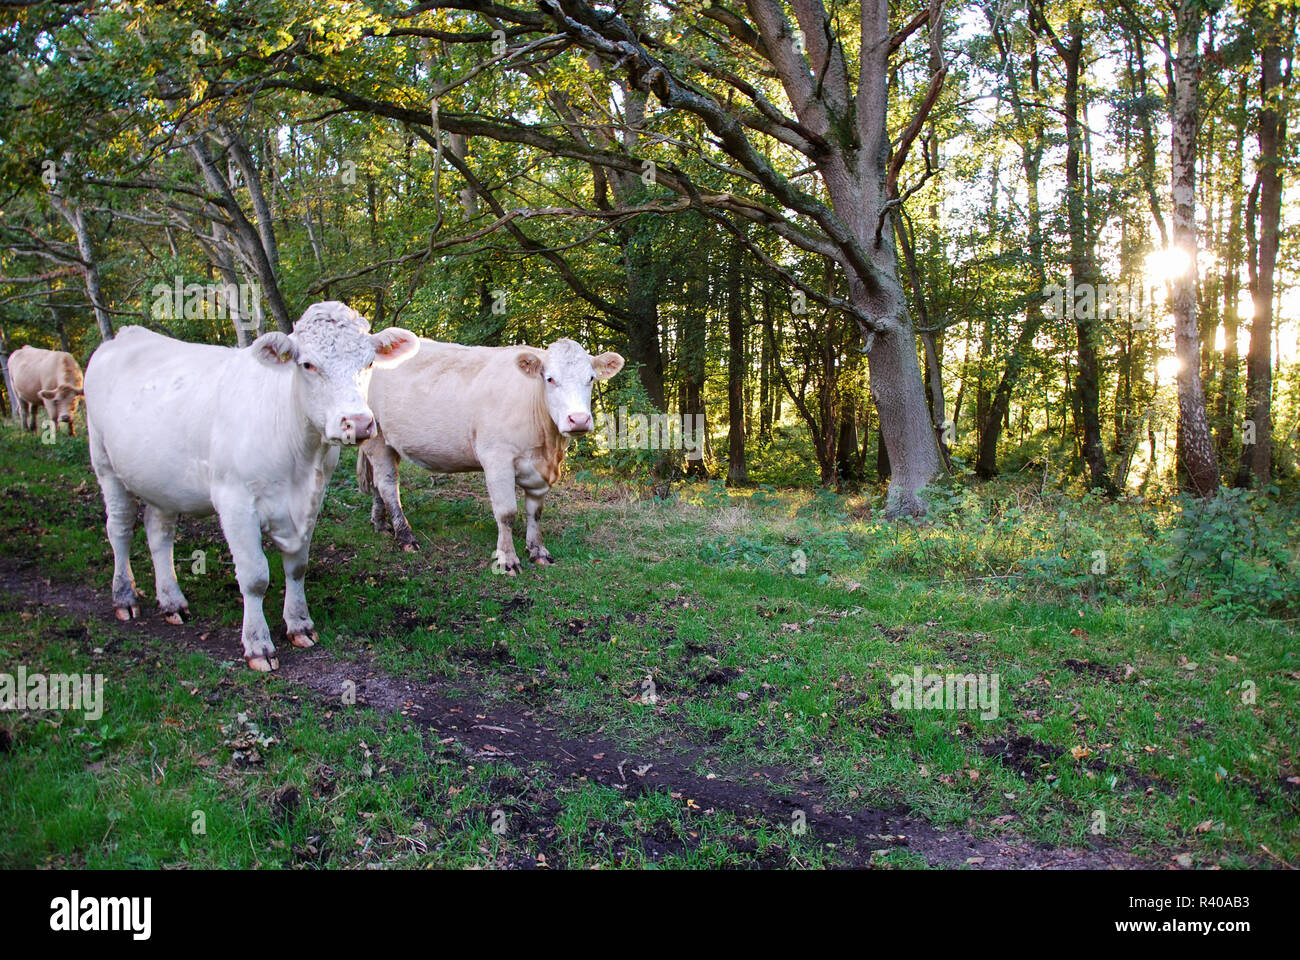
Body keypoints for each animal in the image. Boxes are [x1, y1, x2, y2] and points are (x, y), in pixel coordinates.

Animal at [83, 302, 418, 670]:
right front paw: (258, 644)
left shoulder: (311, 501)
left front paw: (299, 624)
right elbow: (255, 576)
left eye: (369, 362)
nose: (357, 423)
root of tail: (125, 335)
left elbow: (297, 566)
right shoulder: (236, 502)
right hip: (104, 463)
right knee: (119, 529)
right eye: (307, 364)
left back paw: (172, 601)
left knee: (158, 534)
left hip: (162, 481)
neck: (299, 458)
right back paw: (124, 596)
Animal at [358, 338, 624, 572]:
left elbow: (535, 512)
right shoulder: (497, 459)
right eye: (550, 379)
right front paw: (507, 559)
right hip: (377, 438)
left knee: (378, 483)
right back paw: (405, 536)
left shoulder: (539, 472)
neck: (548, 447)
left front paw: (537, 550)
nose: (578, 419)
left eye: (591, 378)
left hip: (389, 442)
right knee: (388, 485)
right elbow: (506, 513)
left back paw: (381, 524)